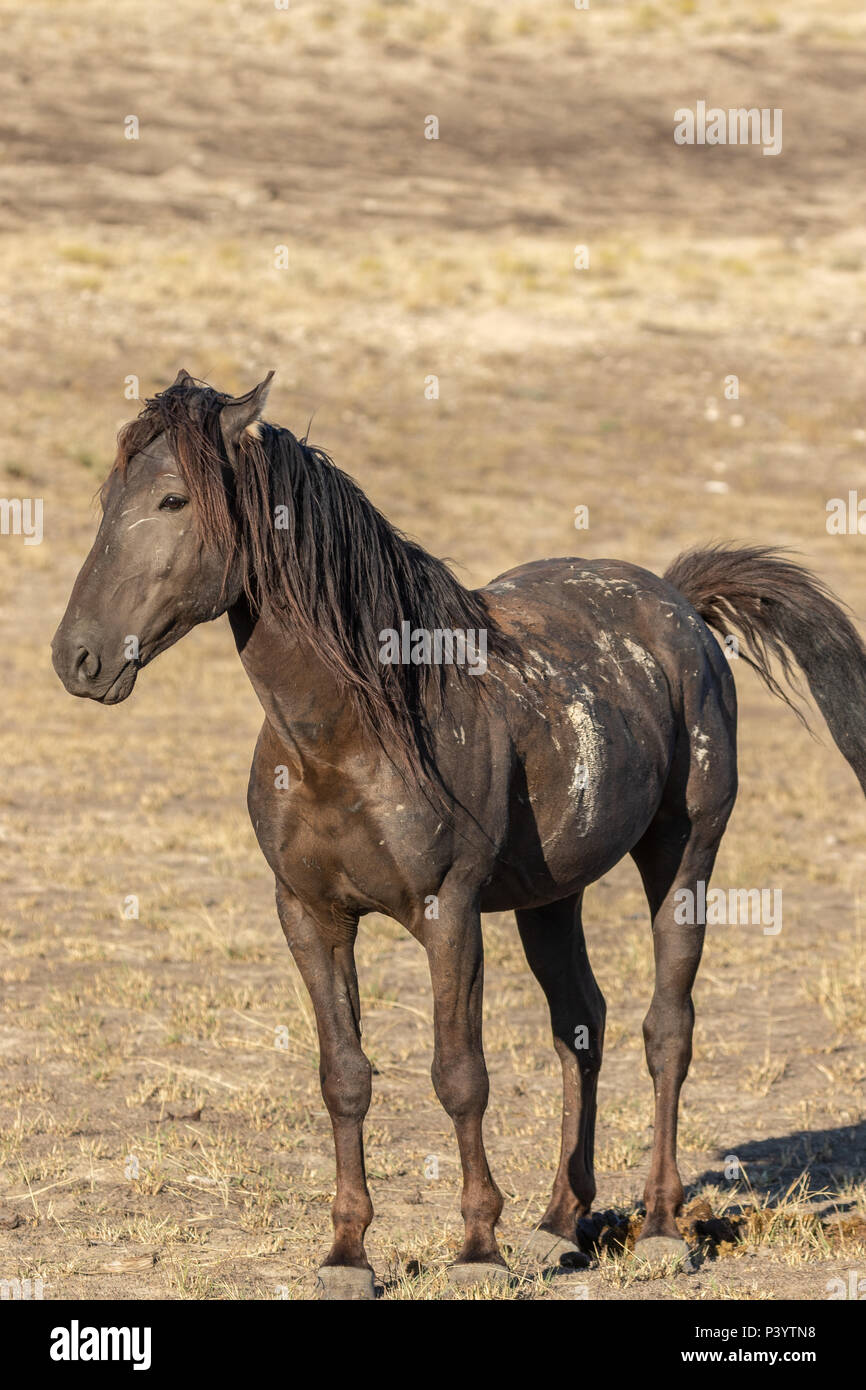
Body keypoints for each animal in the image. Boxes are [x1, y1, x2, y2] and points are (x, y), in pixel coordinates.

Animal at [52, 370, 866, 1298]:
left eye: (173, 498)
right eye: (109, 498)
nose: (77, 657)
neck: (355, 732)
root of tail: (678, 608)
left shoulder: (450, 914)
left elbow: (459, 1076)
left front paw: (478, 1247)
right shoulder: (307, 914)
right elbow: (344, 1077)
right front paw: (347, 1253)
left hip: (683, 857)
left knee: (668, 1029)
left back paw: (660, 1227)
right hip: (553, 897)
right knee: (580, 1025)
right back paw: (559, 1223)